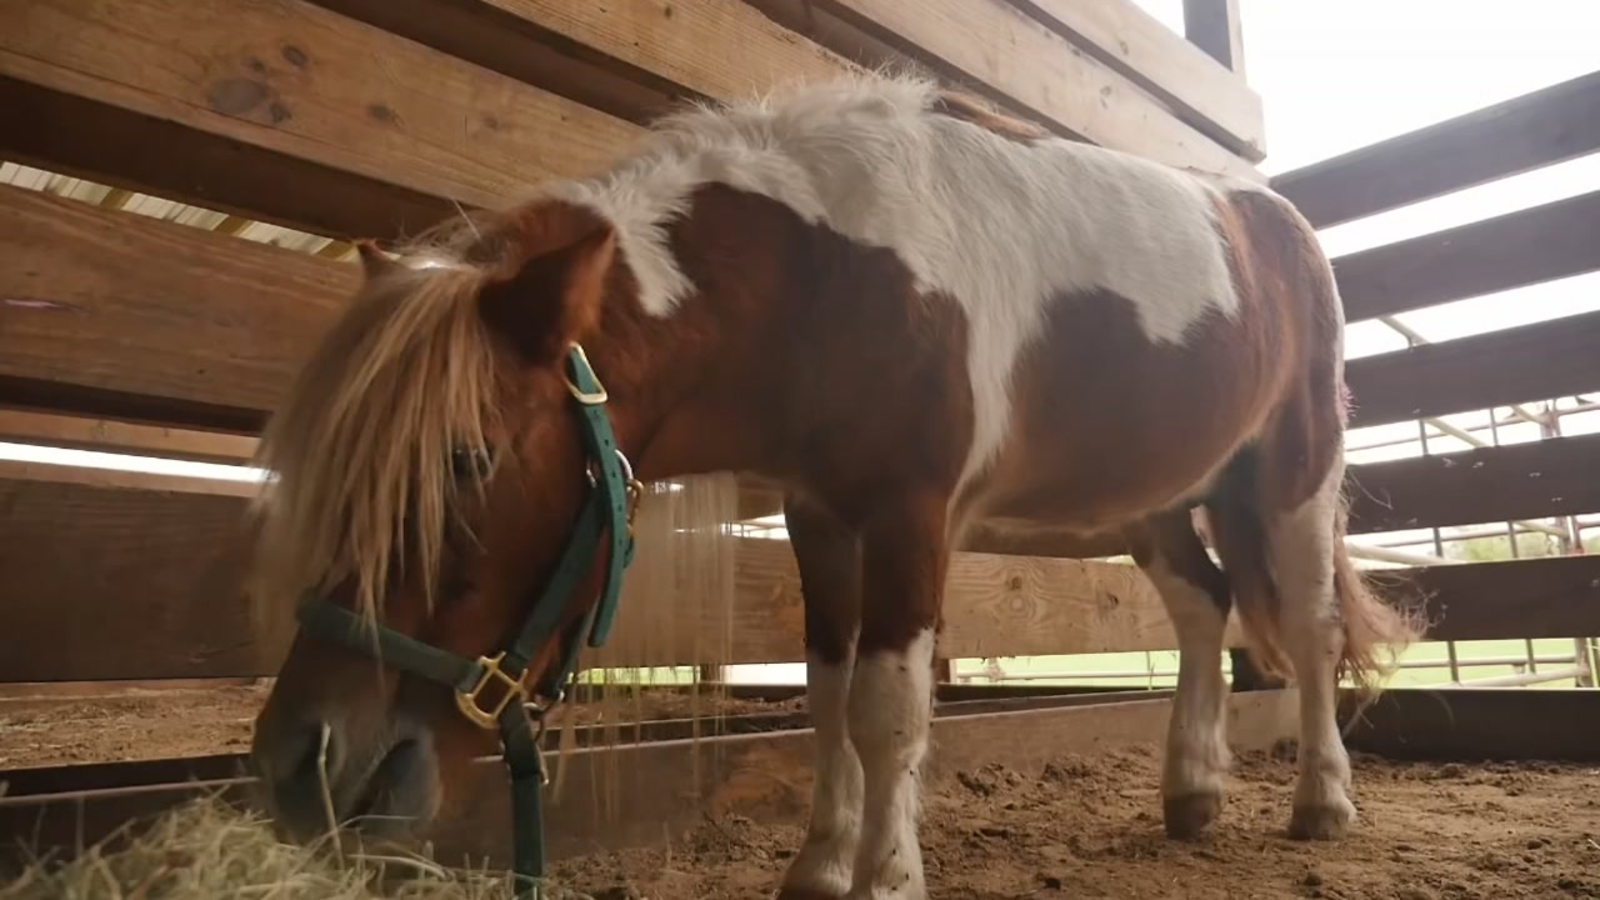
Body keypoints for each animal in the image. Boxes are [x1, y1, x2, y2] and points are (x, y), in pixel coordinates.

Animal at [246, 74, 1419, 899]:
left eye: (469, 459)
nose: (300, 769)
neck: (829, 273)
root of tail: (1278, 222)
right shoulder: (819, 518)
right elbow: (824, 697)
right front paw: (818, 864)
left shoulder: (908, 517)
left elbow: (886, 710)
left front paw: (887, 878)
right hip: (1151, 499)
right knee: (1203, 606)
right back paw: (1194, 789)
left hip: (1294, 473)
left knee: (1309, 626)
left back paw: (1323, 799)